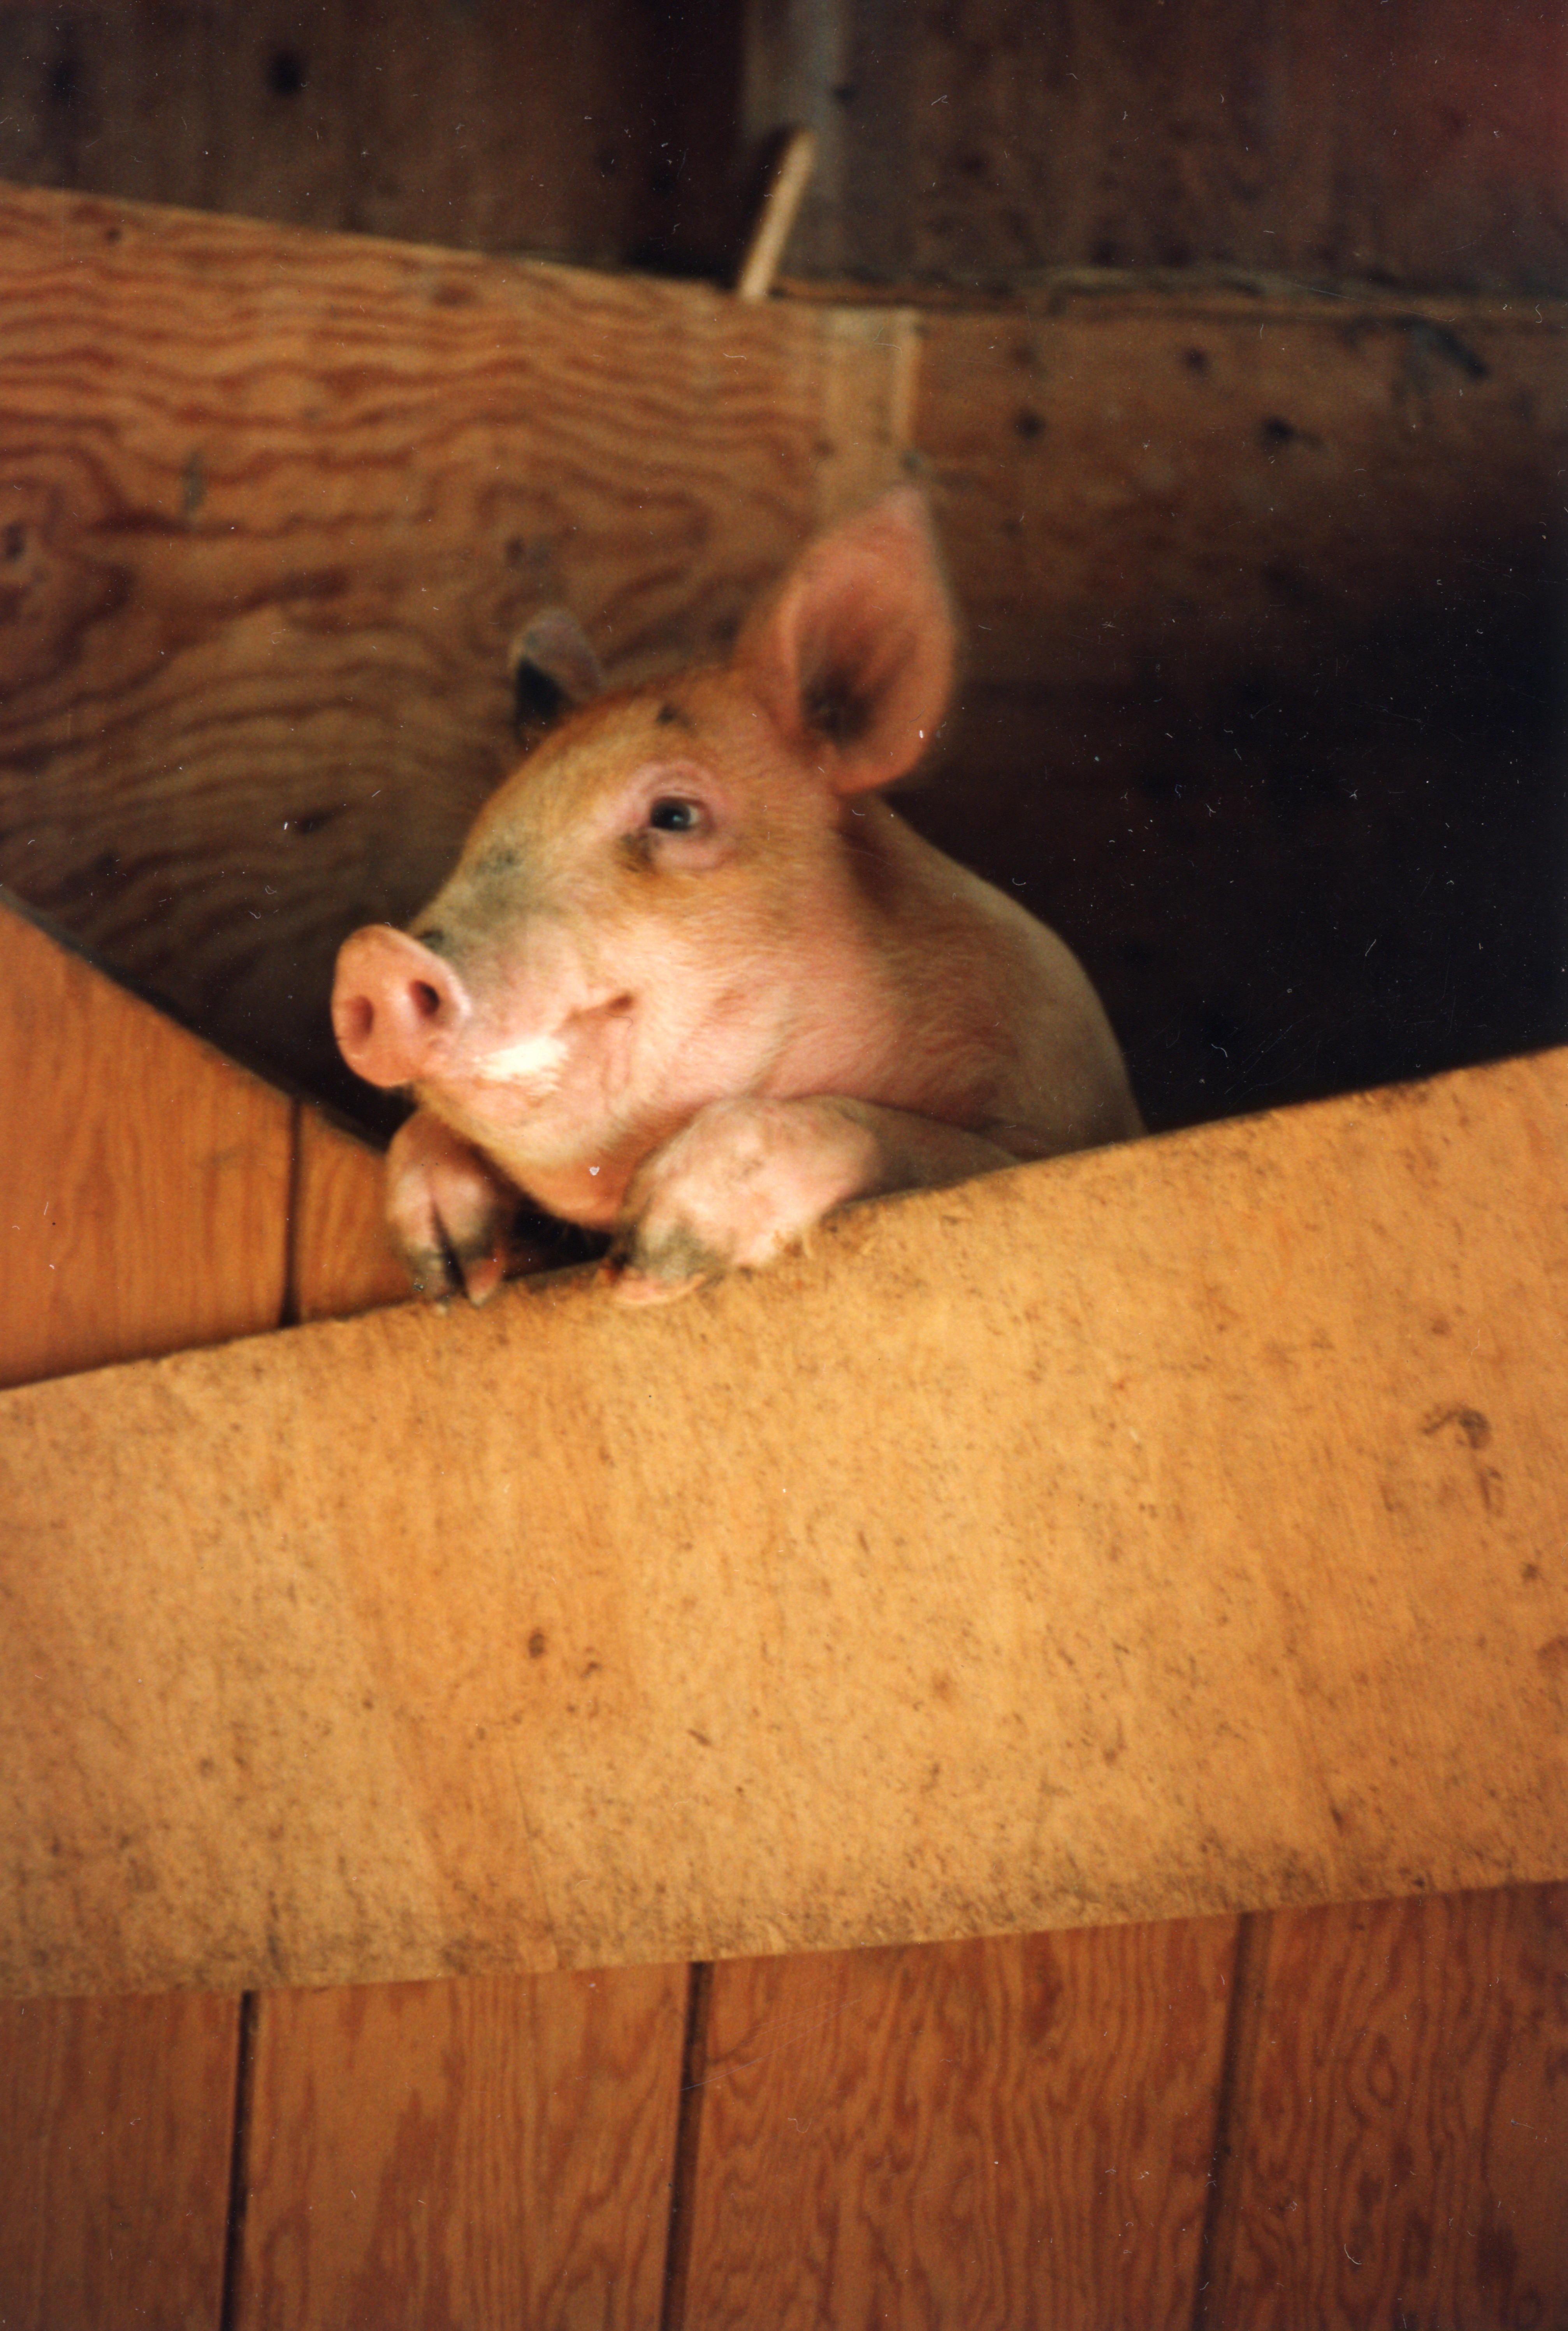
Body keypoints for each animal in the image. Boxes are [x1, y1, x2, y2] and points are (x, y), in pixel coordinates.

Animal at [331, 489, 1142, 1306]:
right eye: (490, 821)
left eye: (675, 815)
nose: (371, 955)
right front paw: (450, 1279)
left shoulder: (1054, 1142)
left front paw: (646, 1265)